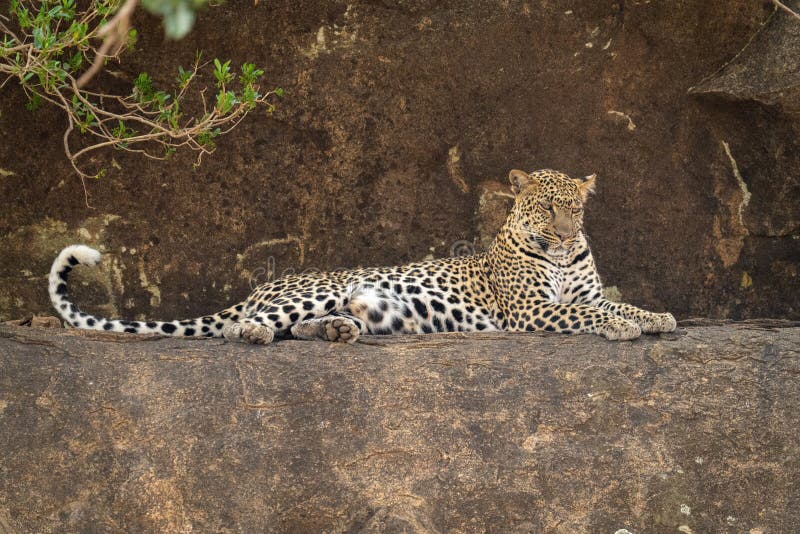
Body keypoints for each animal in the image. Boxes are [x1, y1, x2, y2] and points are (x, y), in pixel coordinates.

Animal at [49, 168, 676, 344]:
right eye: (546, 210)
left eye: (575, 209)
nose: (567, 237)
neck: (562, 260)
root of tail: (259, 286)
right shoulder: (531, 311)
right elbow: (589, 313)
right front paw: (629, 326)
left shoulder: (579, 291)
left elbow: (610, 304)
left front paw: (655, 317)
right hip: (317, 289)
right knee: (242, 327)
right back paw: (254, 333)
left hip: (365, 307)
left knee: (312, 327)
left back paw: (336, 333)